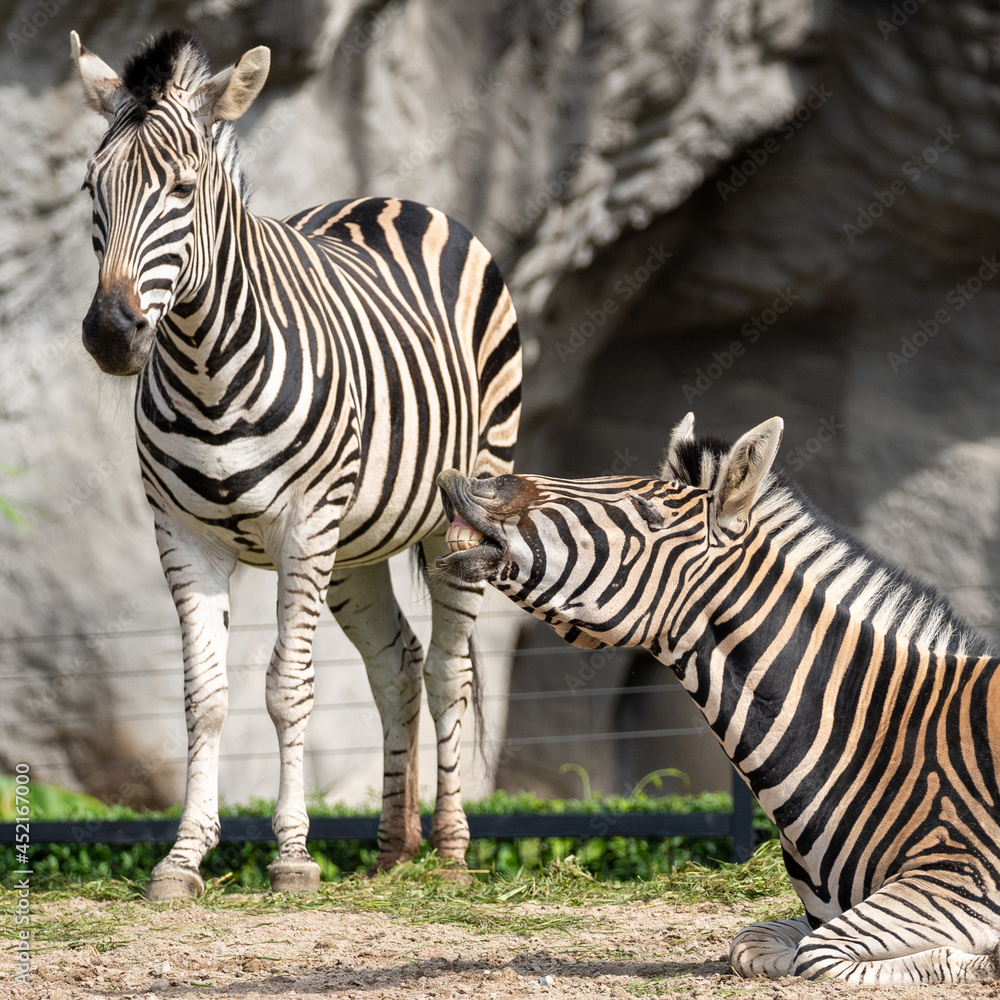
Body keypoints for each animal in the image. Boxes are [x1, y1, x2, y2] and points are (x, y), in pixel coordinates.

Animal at [71, 29, 521, 900]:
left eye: (182, 188)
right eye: (90, 188)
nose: (110, 332)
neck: (205, 364)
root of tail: (392, 200)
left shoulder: (302, 528)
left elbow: (287, 689)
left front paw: (291, 856)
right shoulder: (185, 537)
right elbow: (206, 698)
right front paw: (183, 858)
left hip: (454, 509)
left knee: (450, 669)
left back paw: (451, 851)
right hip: (354, 546)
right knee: (397, 663)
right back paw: (393, 847)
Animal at [437, 413, 1000, 985]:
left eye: (646, 512)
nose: (466, 481)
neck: (875, 737)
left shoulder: (957, 878)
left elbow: (818, 955)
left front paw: (981, 960)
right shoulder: (824, 912)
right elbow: (752, 944)